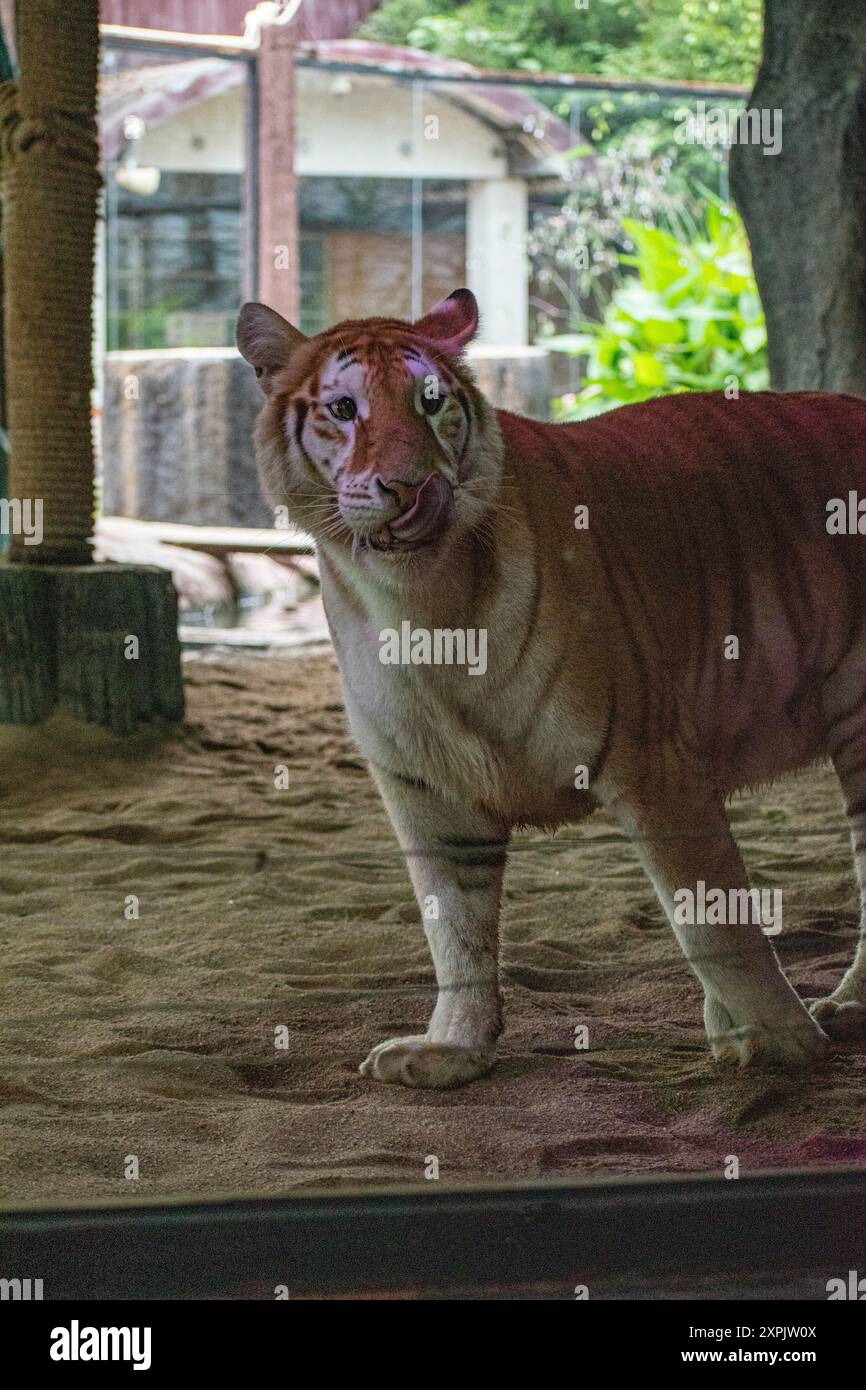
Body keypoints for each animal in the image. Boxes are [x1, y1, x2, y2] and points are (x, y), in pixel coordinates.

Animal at [237, 287, 866, 1088]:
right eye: (344, 409)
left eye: (430, 402)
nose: (410, 488)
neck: (418, 602)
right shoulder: (423, 786)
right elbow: (455, 930)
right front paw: (452, 1049)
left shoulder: (655, 765)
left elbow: (709, 919)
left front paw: (780, 1042)